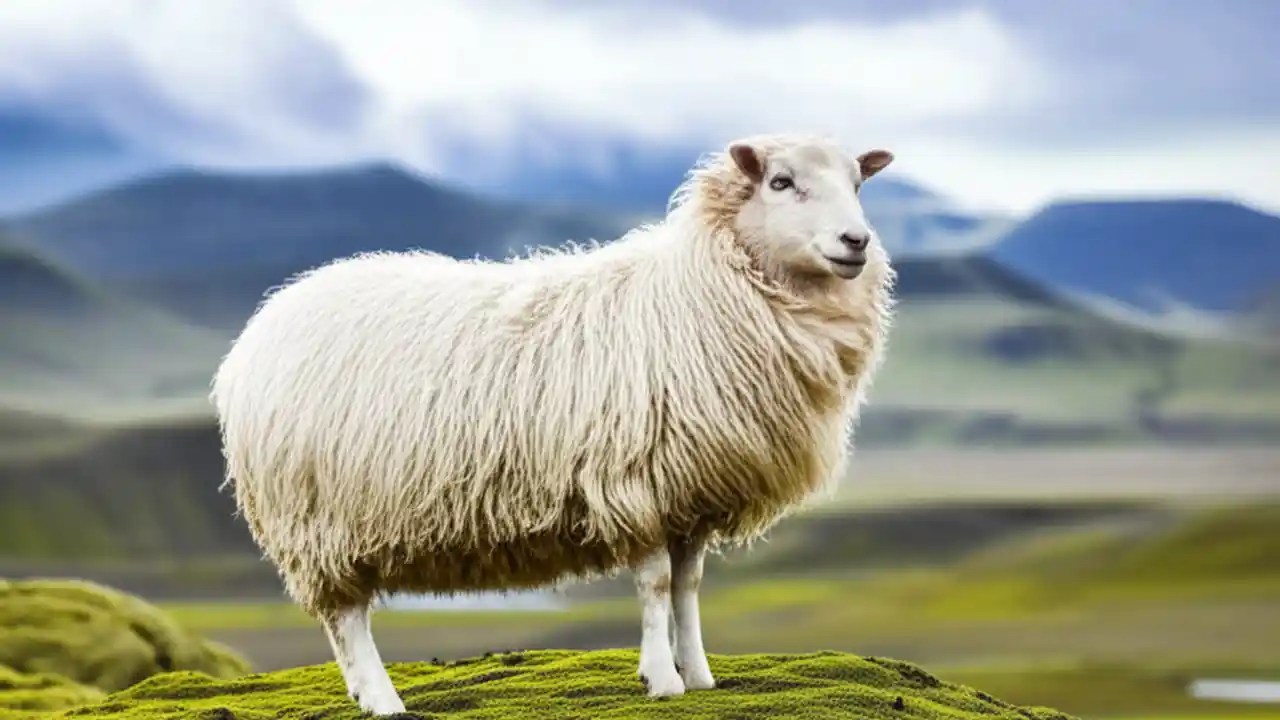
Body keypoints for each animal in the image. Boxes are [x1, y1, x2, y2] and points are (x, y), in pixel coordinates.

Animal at [211, 134, 896, 715]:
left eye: (858, 183)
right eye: (781, 182)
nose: (856, 241)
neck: (698, 291)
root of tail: (258, 331)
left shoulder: (691, 493)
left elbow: (688, 586)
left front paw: (700, 674)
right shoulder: (633, 482)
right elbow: (654, 585)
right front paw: (662, 680)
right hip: (319, 519)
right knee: (345, 618)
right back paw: (382, 700)